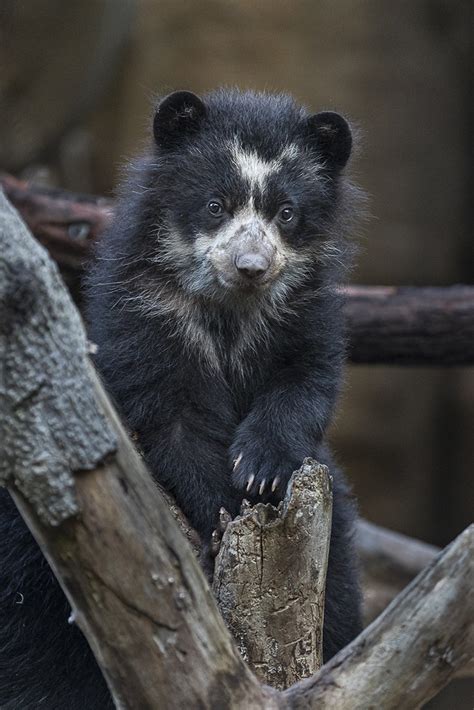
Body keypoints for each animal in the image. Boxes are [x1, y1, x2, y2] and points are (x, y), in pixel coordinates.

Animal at [0, 89, 362, 709]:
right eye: (215, 205)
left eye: (286, 213)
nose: (251, 267)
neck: (229, 313)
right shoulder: (145, 315)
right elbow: (174, 420)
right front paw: (225, 513)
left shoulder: (305, 314)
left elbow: (306, 384)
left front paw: (260, 471)